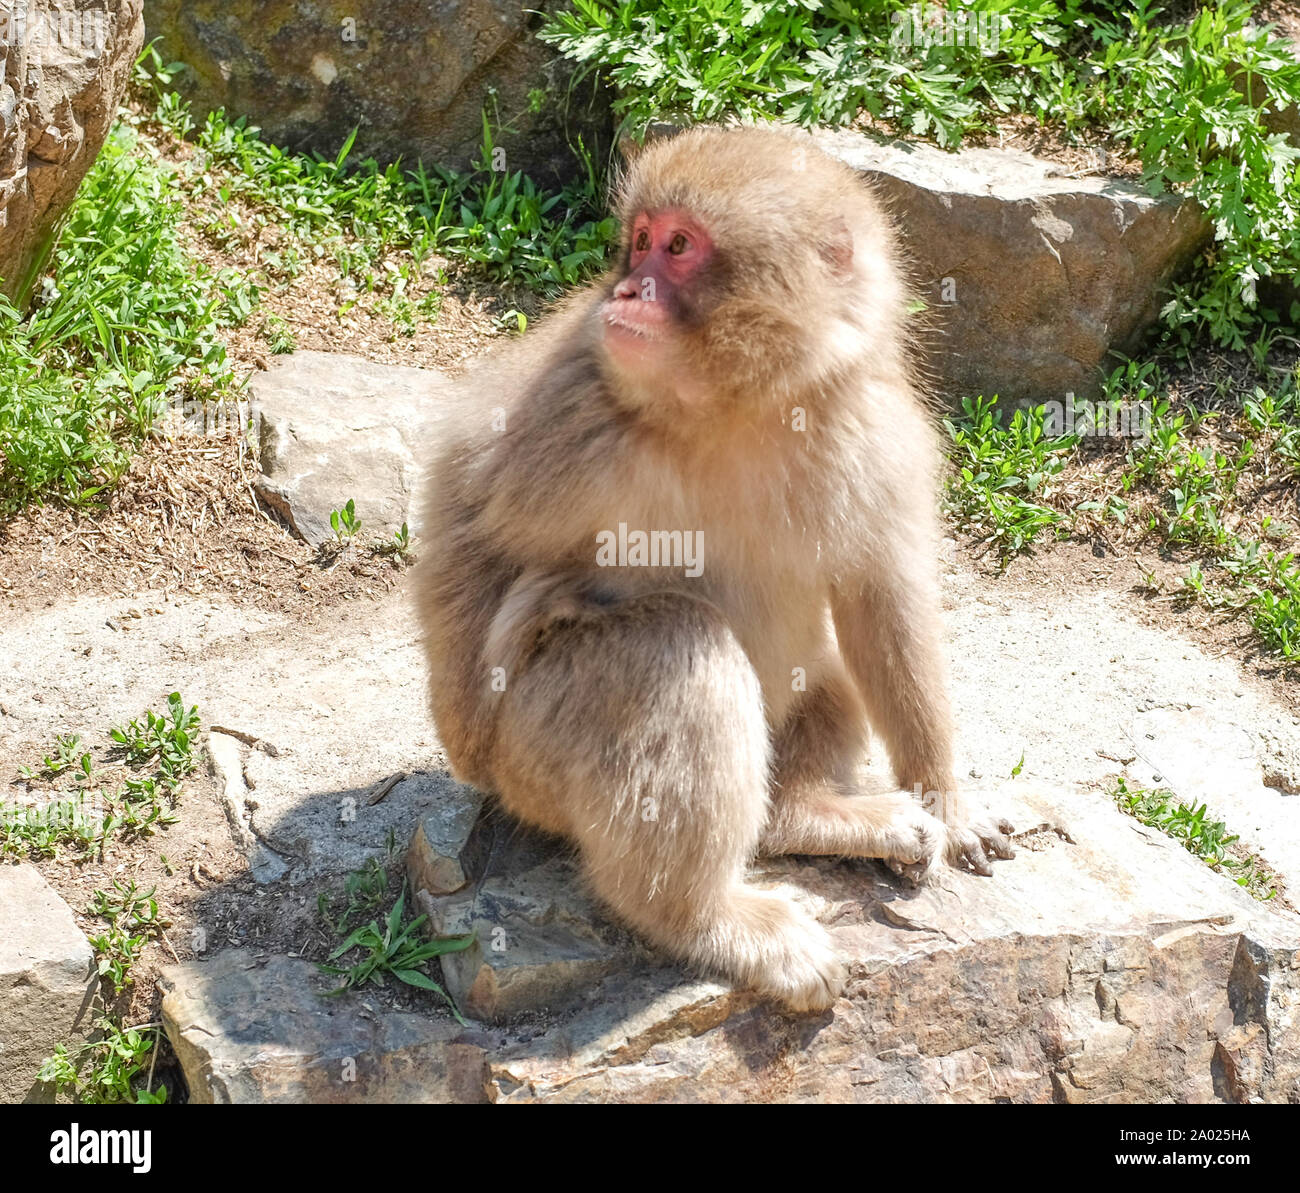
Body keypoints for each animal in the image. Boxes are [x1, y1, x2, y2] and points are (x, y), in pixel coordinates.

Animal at [417, 124, 1014, 1014]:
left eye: (678, 247)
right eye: (638, 241)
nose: (627, 290)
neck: (741, 407)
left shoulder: (872, 428)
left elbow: (883, 599)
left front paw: (946, 793)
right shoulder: (570, 406)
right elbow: (466, 517)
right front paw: (467, 736)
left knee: (825, 685)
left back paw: (803, 818)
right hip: (538, 762)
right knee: (672, 643)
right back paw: (708, 919)